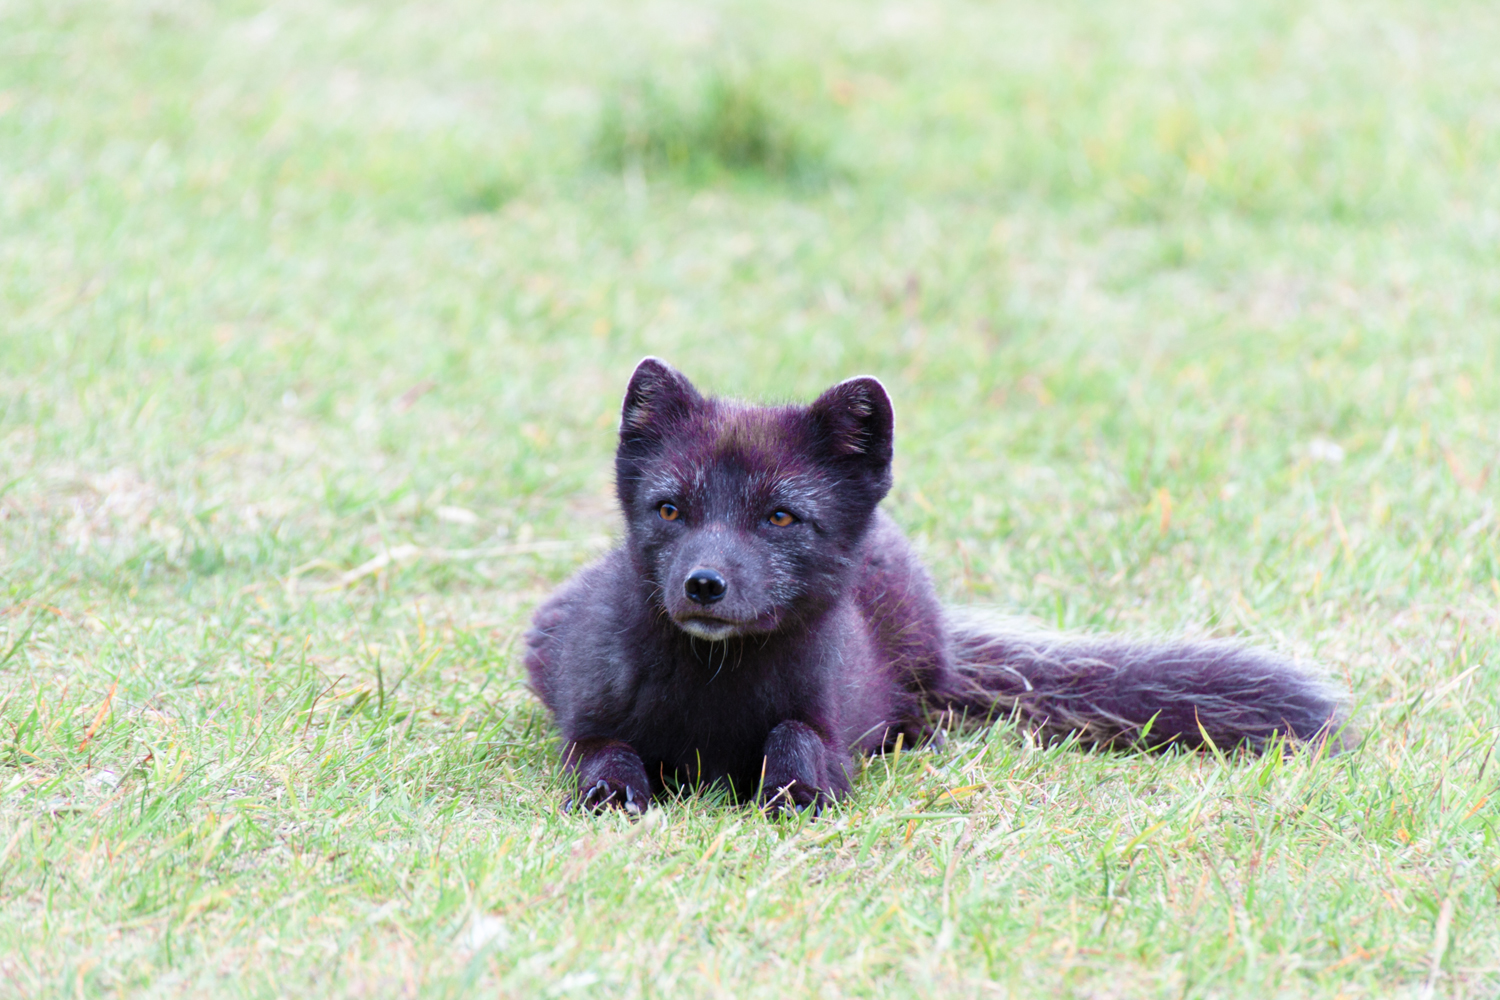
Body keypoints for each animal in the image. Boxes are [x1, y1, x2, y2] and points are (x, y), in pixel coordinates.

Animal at [523, 358, 1350, 814]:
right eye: (670, 508)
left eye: (780, 516)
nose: (704, 584)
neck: (711, 693)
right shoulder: (582, 719)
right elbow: (600, 753)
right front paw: (611, 796)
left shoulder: (827, 720)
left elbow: (798, 740)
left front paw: (796, 794)